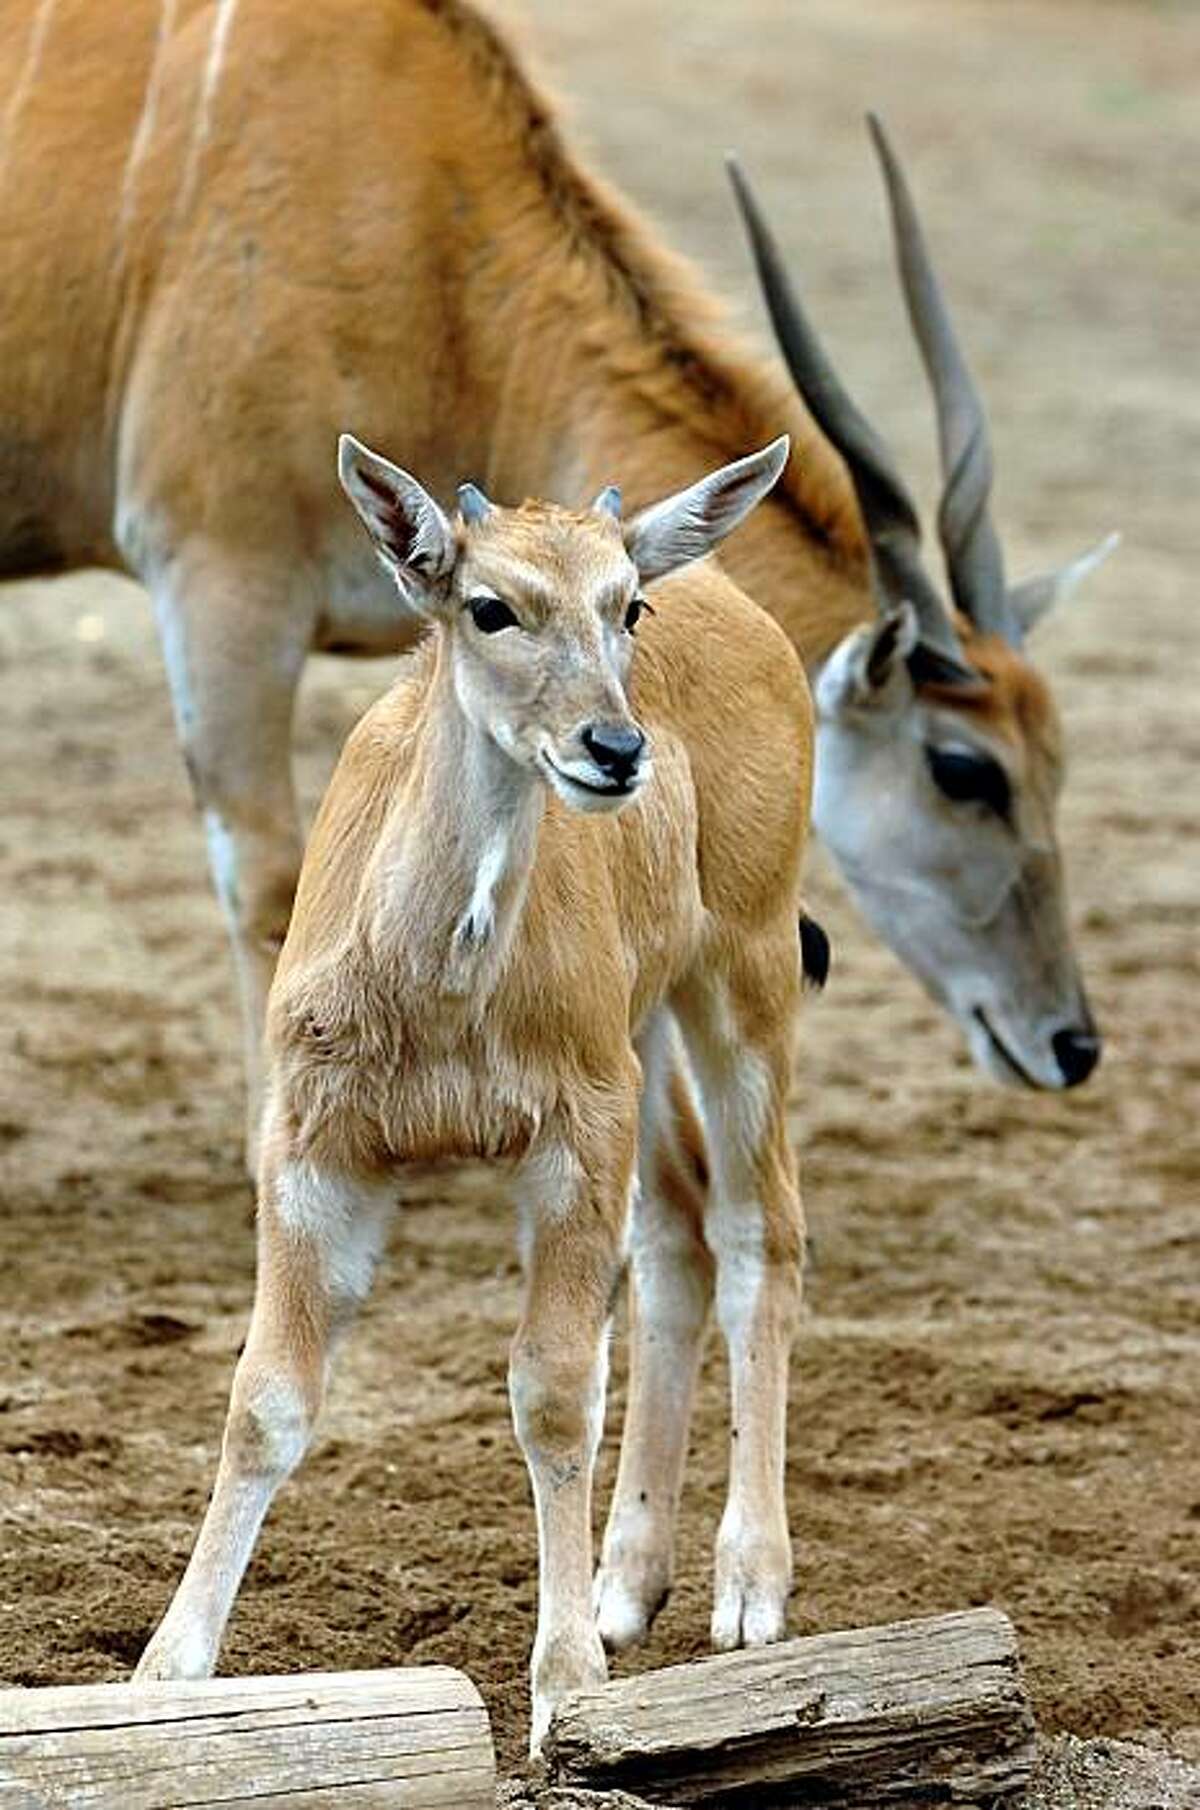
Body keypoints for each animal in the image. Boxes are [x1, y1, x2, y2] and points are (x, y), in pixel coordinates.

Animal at [0, 0, 1114, 1163]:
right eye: (964, 768)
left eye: (1057, 761)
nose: (1072, 1043)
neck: (435, 254)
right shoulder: (221, 586)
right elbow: (268, 889)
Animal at [134, 433, 811, 1750]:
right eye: (489, 605)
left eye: (625, 606)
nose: (614, 749)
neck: (435, 994)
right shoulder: (312, 1144)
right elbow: (264, 1396)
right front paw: (161, 1679)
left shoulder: (571, 1127)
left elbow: (552, 1391)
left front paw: (564, 1694)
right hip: (649, 1029)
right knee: (678, 1237)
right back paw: (625, 1584)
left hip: (744, 974)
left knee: (763, 1227)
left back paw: (747, 1584)